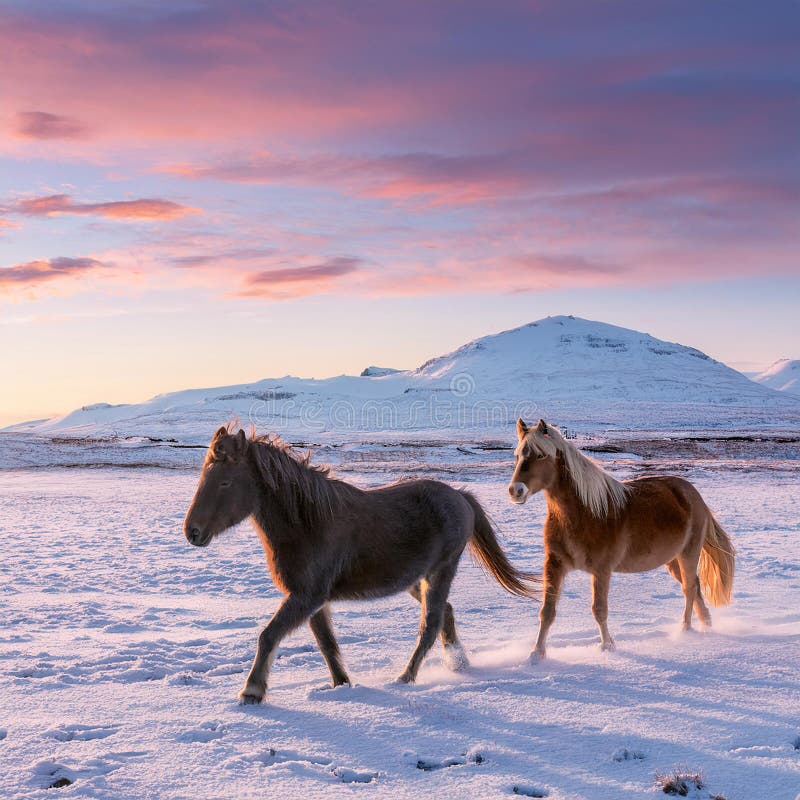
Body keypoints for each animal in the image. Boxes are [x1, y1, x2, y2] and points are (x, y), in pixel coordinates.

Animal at [184, 425, 538, 703]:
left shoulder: (306, 597)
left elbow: (268, 636)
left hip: (441, 571)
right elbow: (326, 643)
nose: (192, 532)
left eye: (225, 482)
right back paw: (458, 664)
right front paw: (341, 684)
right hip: (417, 579)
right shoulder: (311, 600)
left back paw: (406, 678)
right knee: (445, 614)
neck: (307, 523)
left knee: (430, 623)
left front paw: (252, 691)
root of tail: (460, 496)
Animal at [507, 418, 735, 661]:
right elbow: (547, 611)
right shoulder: (554, 565)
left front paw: (607, 646)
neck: (585, 513)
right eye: (518, 455)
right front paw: (536, 654)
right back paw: (706, 623)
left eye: (541, 455)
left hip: (688, 554)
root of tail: (693, 495)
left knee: (689, 588)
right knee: (695, 585)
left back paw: (685, 629)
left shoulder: (602, 570)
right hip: (672, 560)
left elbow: (599, 610)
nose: (516, 491)